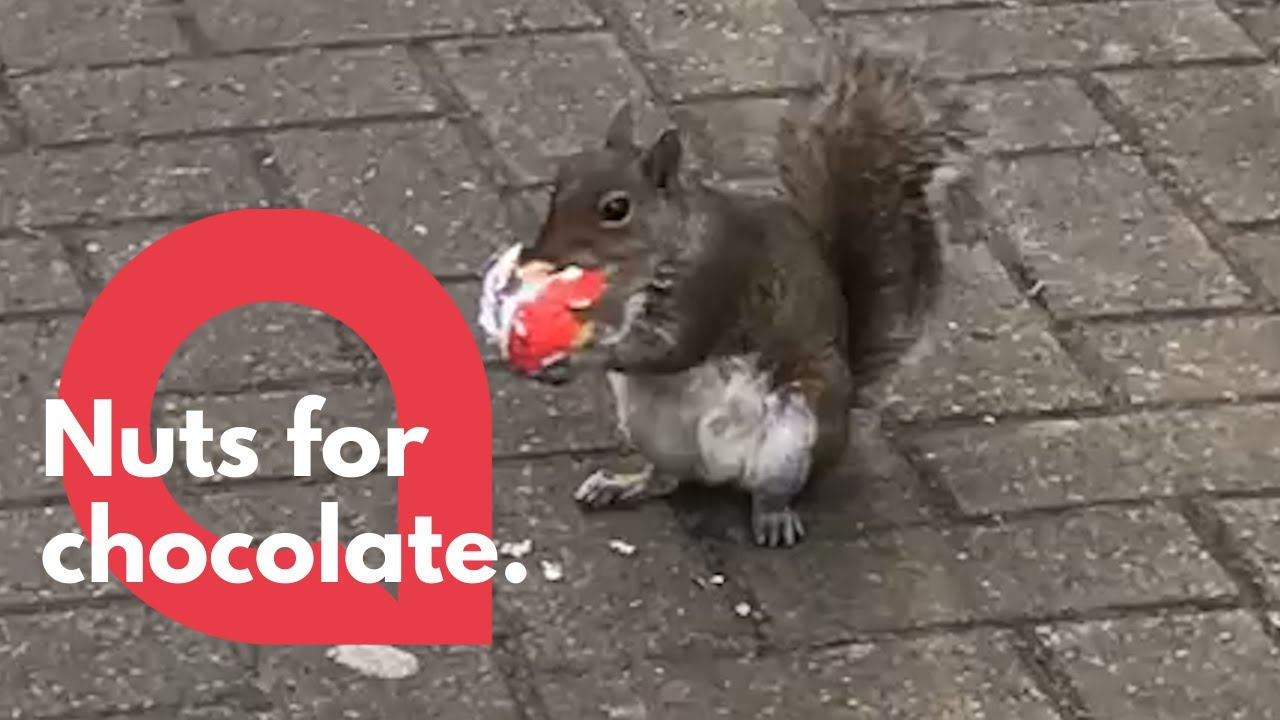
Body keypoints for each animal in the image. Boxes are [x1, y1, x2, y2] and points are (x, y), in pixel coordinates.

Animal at [519, 47, 987, 547]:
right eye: (560, 178)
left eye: (616, 209)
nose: (540, 256)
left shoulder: (713, 288)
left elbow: (671, 350)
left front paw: (573, 358)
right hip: (650, 426)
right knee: (665, 480)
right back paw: (622, 485)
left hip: (794, 433)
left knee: (770, 488)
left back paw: (773, 516)